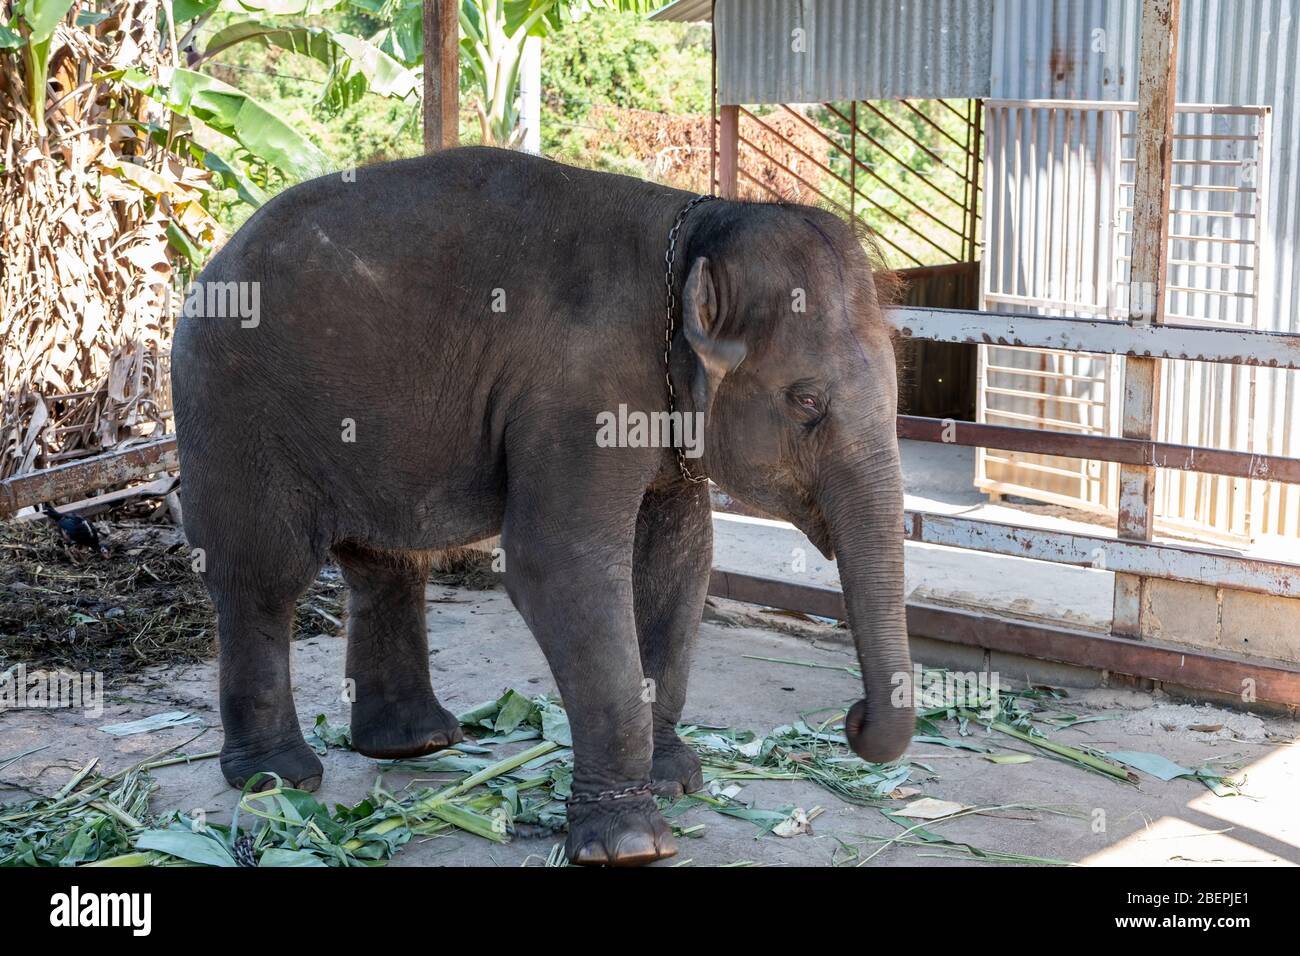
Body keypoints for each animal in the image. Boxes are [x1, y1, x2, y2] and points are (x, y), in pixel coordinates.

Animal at [171, 146, 915, 866]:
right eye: (807, 401)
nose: (854, 719)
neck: (697, 228)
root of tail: (213, 261)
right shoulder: (579, 392)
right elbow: (559, 565)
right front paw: (629, 844)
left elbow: (680, 562)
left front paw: (673, 779)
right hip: (231, 409)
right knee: (264, 578)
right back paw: (276, 778)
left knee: (386, 565)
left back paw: (415, 743)